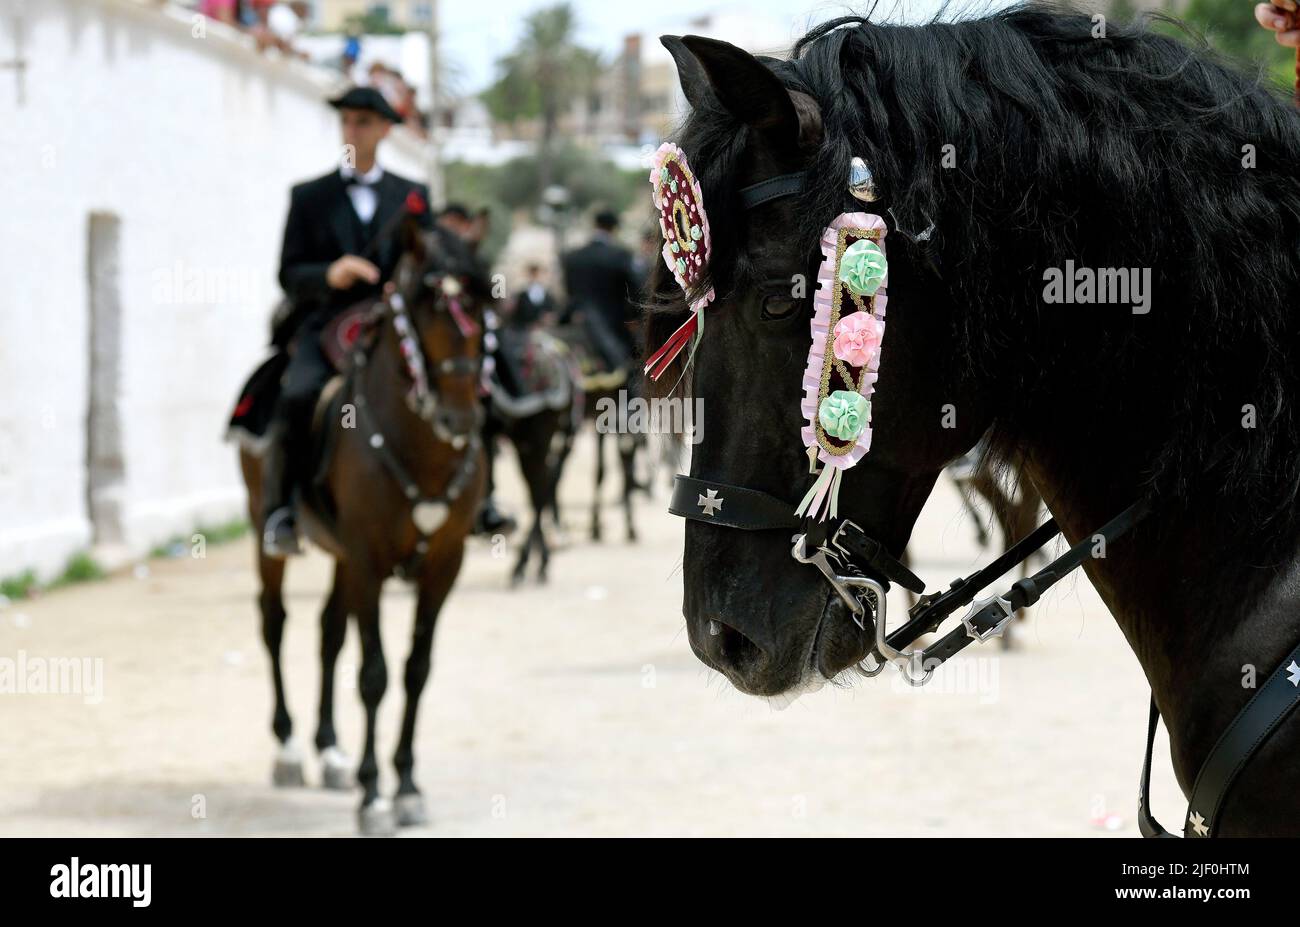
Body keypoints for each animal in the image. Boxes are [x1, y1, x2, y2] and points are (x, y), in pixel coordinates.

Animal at [238, 217, 488, 835]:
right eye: (422, 307)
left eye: (483, 305)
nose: (459, 417)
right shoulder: (370, 561)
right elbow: (374, 674)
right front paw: (374, 796)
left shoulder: (442, 564)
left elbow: (416, 670)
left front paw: (406, 786)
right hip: (268, 534)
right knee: (274, 622)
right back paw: (288, 748)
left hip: (342, 555)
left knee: (328, 631)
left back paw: (330, 752)